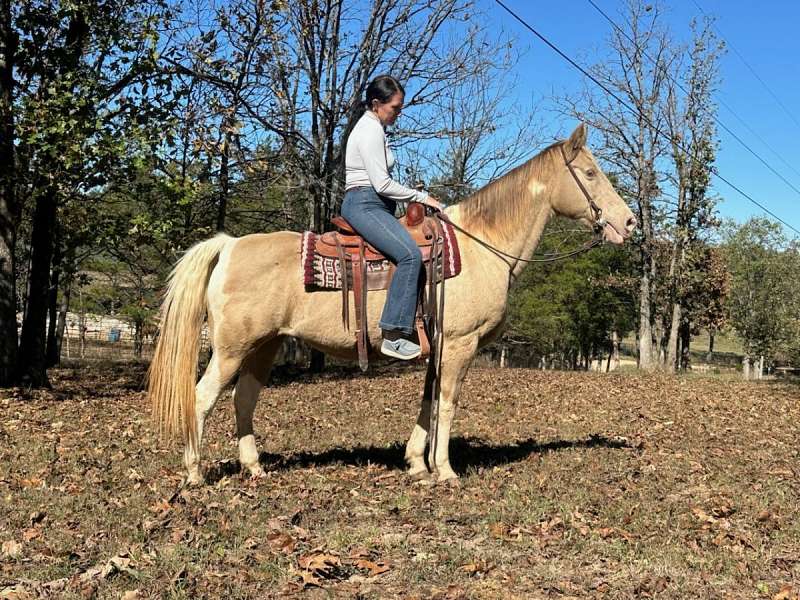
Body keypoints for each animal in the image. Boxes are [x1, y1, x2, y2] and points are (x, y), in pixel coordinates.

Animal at [148, 123, 636, 485]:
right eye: (589, 173)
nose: (629, 222)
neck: (481, 246)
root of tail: (229, 246)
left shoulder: (438, 348)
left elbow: (428, 401)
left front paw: (418, 463)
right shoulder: (459, 345)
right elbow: (447, 404)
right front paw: (445, 470)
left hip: (263, 347)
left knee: (244, 399)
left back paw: (255, 467)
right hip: (230, 349)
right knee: (201, 398)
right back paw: (194, 474)